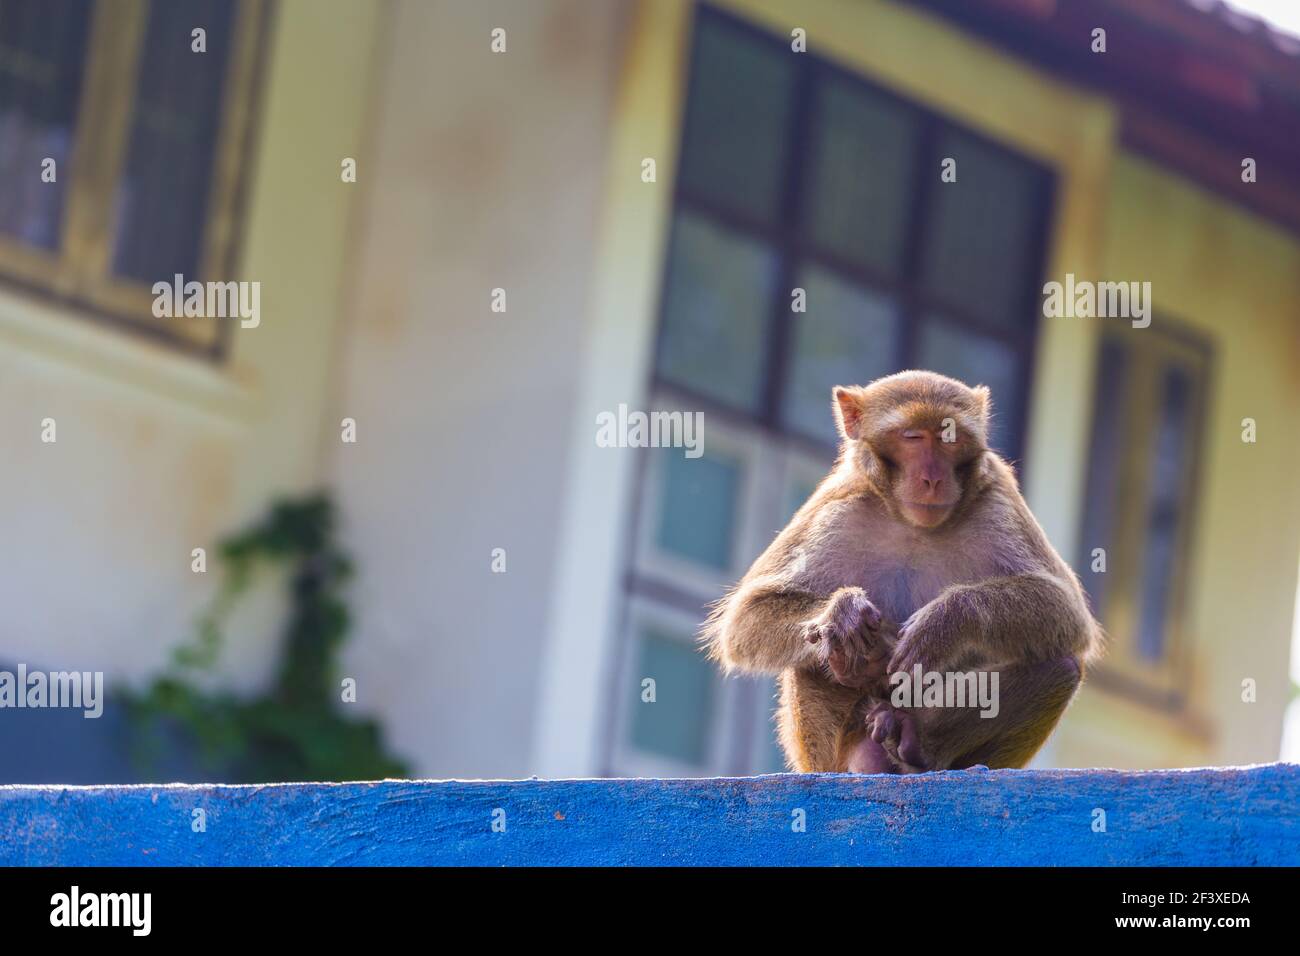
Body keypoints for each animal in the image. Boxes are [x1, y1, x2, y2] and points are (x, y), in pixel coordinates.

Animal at [702, 370, 1103, 774]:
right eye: (913, 437)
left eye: (949, 438)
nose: (932, 479)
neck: (913, 526)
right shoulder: (837, 504)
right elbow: (749, 616)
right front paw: (844, 614)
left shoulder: (997, 500)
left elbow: (1067, 612)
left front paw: (946, 622)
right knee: (814, 652)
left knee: (1060, 667)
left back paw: (914, 740)